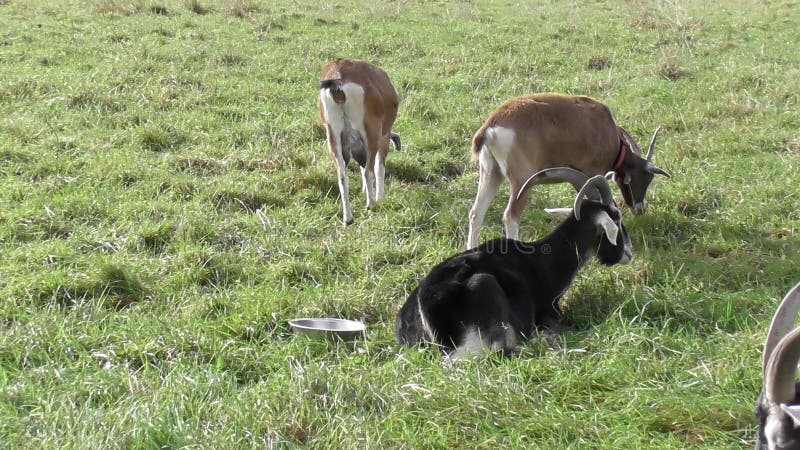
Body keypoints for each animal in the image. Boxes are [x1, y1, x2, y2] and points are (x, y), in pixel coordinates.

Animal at [318, 58, 401, 225]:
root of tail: (338, 76)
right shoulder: (383, 136)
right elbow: (379, 167)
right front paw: (380, 197)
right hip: (371, 133)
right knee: (369, 171)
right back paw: (371, 204)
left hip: (333, 136)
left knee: (342, 177)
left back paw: (348, 219)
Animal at [395, 170, 632, 358]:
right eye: (617, 217)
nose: (629, 252)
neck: (542, 260)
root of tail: (424, 310)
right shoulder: (550, 312)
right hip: (484, 289)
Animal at [466, 92, 670, 249]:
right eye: (647, 178)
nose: (640, 208)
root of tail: (490, 126)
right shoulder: (589, 174)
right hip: (521, 182)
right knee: (510, 216)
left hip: (491, 174)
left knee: (476, 213)